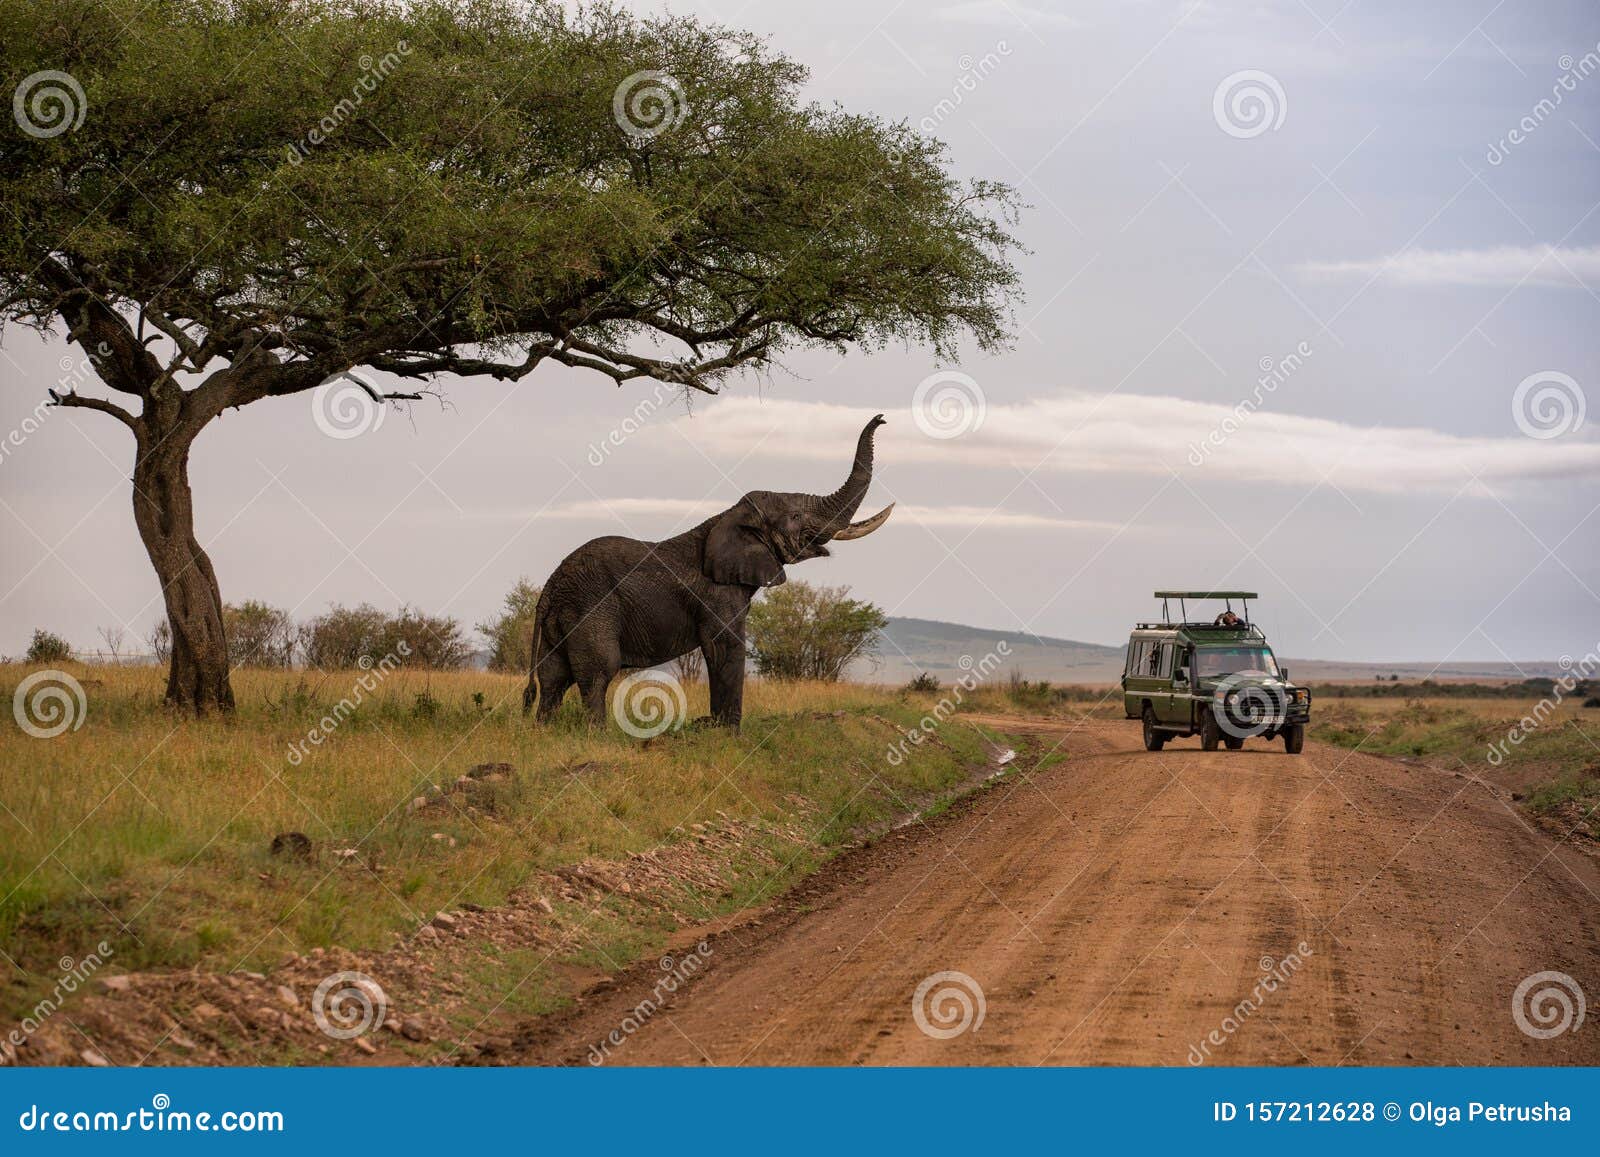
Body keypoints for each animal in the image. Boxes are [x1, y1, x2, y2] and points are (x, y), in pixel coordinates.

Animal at [522, 414, 894, 729]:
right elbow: (725, 647)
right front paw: (727, 732)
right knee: (598, 672)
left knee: (554, 676)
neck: (730, 516)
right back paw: (598, 735)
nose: (882, 419)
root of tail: (549, 587)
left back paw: (544, 731)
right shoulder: (718, 594)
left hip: (564, 615)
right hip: (591, 607)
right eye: (795, 517)